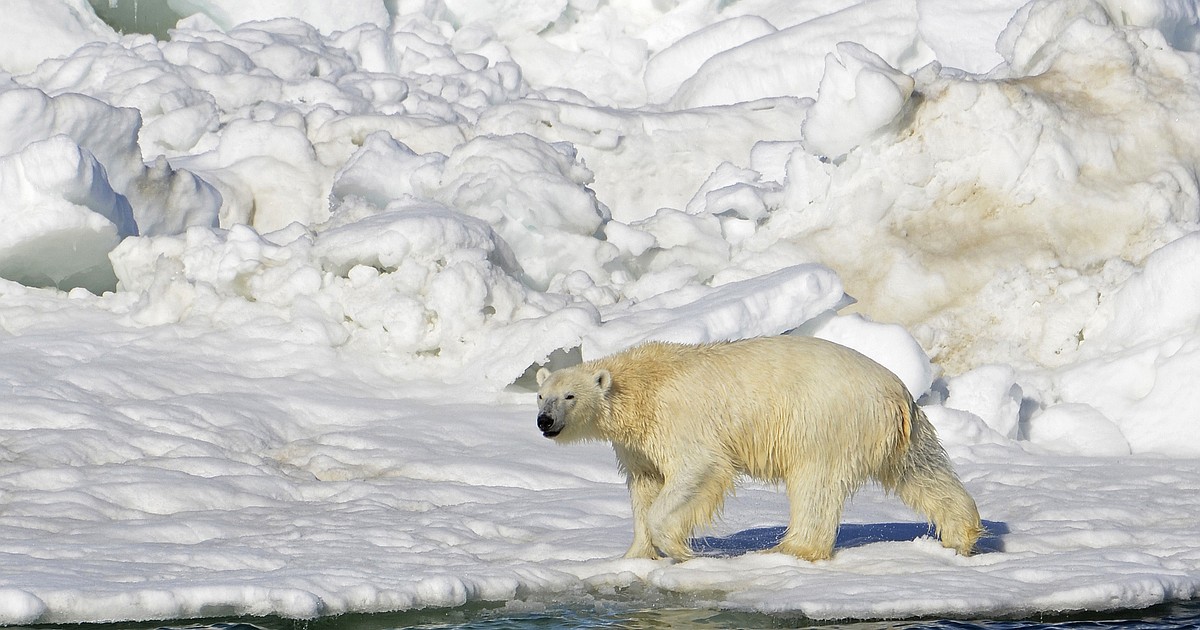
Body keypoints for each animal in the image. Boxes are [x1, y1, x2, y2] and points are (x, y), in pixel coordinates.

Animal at [535, 335, 982, 562]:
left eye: (570, 396)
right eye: (541, 396)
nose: (544, 421)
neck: (643, 385)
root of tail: (896, 392)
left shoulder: (680, 420)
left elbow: (698, 469)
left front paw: (680, 549)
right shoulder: (638, 444)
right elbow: (645, 486)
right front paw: (634, 555)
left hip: (825, 421)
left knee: (815, 484)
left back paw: (791, 548)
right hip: (899, 432)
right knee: (922, 472)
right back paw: (960, 535)